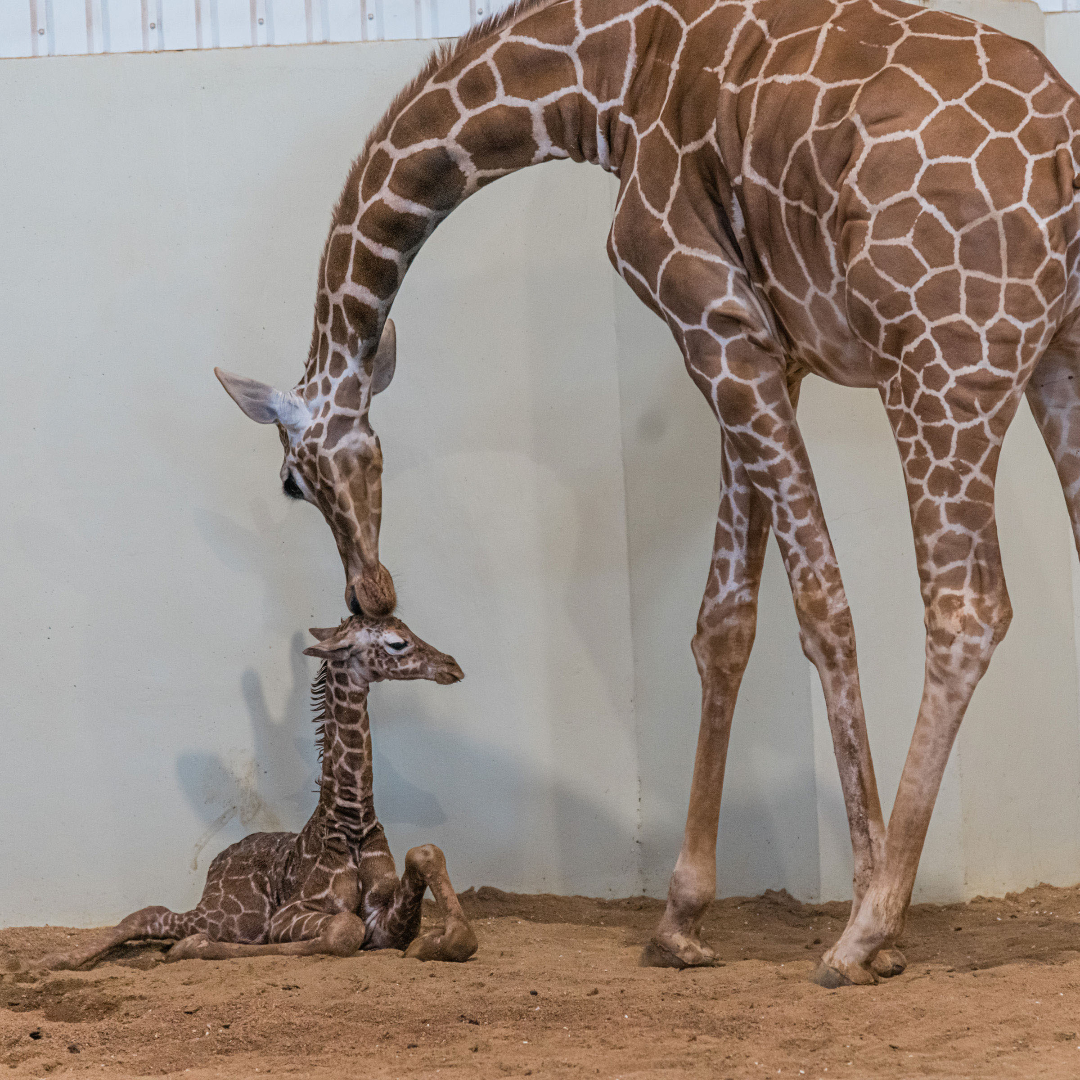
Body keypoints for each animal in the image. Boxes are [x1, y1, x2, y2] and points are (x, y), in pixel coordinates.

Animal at [36, 615, 477, 970]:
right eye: (397, 642)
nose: (452, 665)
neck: (351, 817)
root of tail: (217, 863)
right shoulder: (288, 915)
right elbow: (343, 931)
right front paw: (192, 948)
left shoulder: (381, 918)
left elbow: (426, 857)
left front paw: (431, 944)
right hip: (234, 917)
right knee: (149, 914)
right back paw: (55, 960)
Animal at [215, 0, 1080, 986]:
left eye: (291, 481)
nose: (370, 591)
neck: (611, 78)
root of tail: (1065, 145)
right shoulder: (768, 348)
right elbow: (725, 625)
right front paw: (682, 919)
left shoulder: (715, 322)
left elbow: (820, 605)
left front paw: (867, 917)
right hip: (1055, 355)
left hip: (945, 368)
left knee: (967, 608)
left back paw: (863, 931)